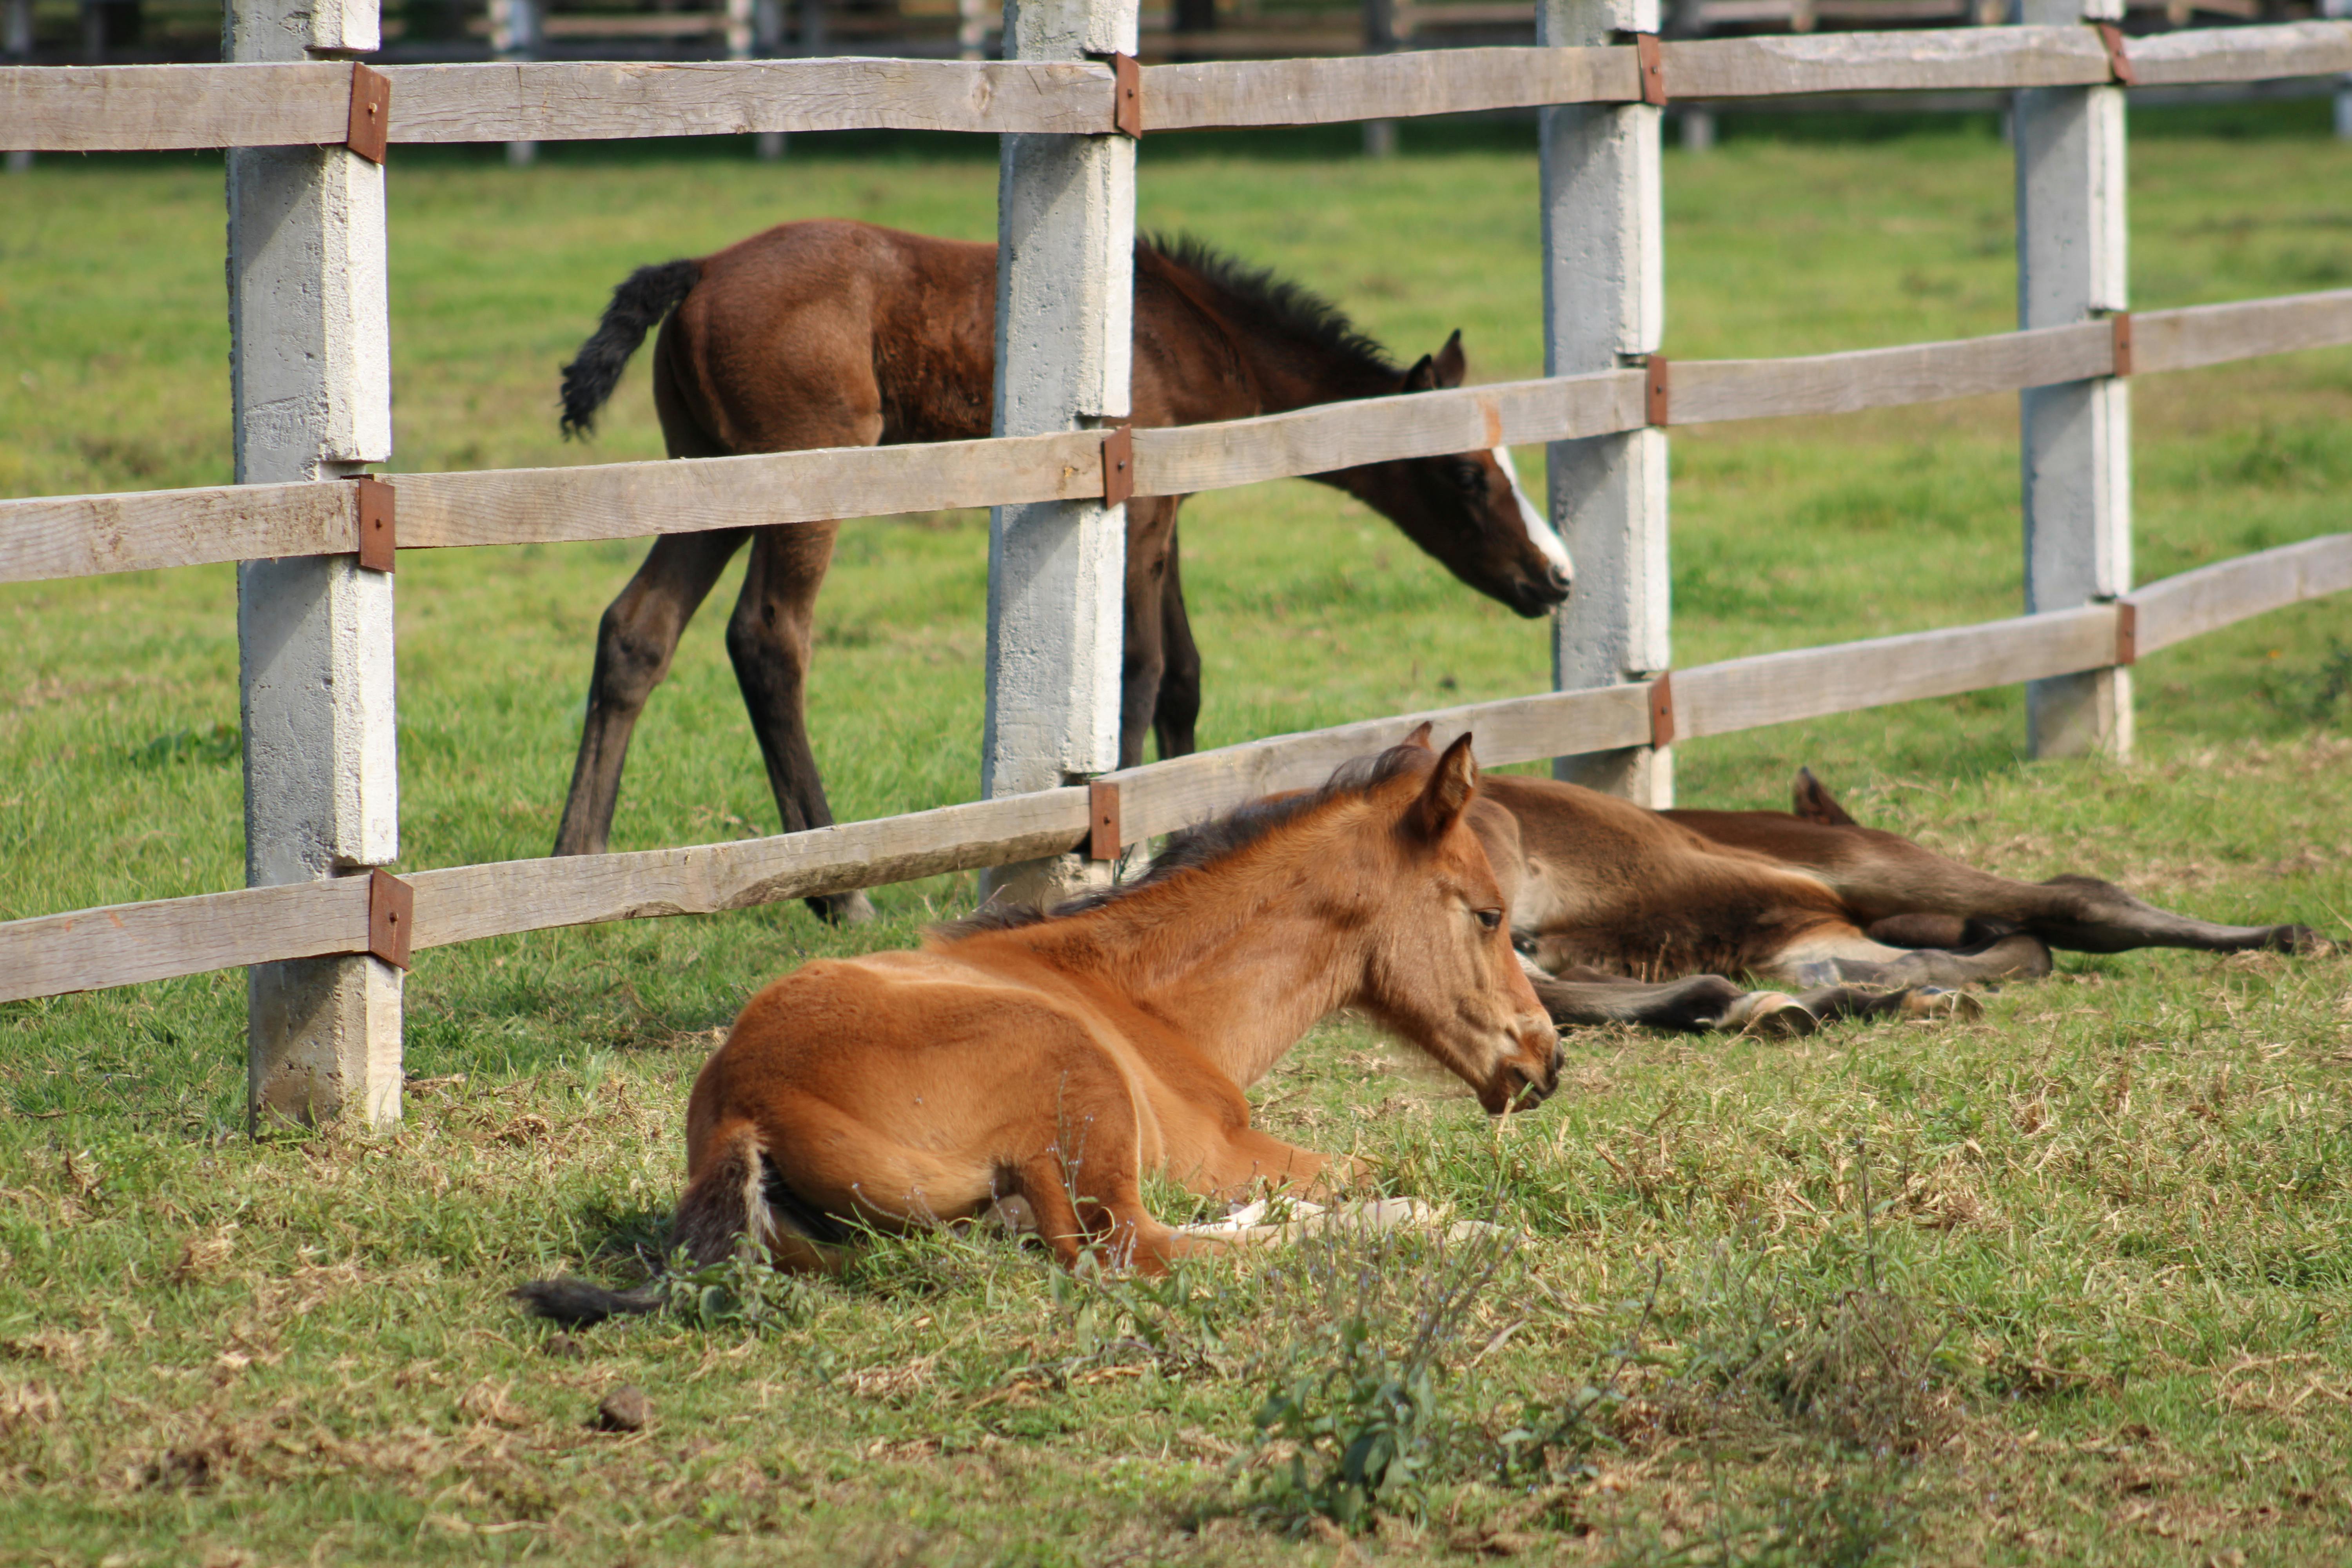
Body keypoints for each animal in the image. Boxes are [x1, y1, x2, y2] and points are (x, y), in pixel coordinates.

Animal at [514, 730, 1559, 1321]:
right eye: (1488, 914)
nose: (1546, 1055)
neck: (1145, 1004)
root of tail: (742, 1105)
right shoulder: (1222, 1151)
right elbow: (1370, 1163)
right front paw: (1434, 1214)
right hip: (1078, 1086)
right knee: (1131, 1247)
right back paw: (1437, 1227)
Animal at [550, 219, 1574, 922]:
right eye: (1465, 476)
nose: (1554, 581)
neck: (1187, 328)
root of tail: (702, 269)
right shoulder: (1140, 510)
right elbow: (1142, 669)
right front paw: (1117, 849)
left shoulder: (1167, 511)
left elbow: (1184, 675)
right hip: (803, 480)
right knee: (768, 639)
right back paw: (837, 890)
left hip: (709, 480)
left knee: (637, 628)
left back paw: (581, 862)